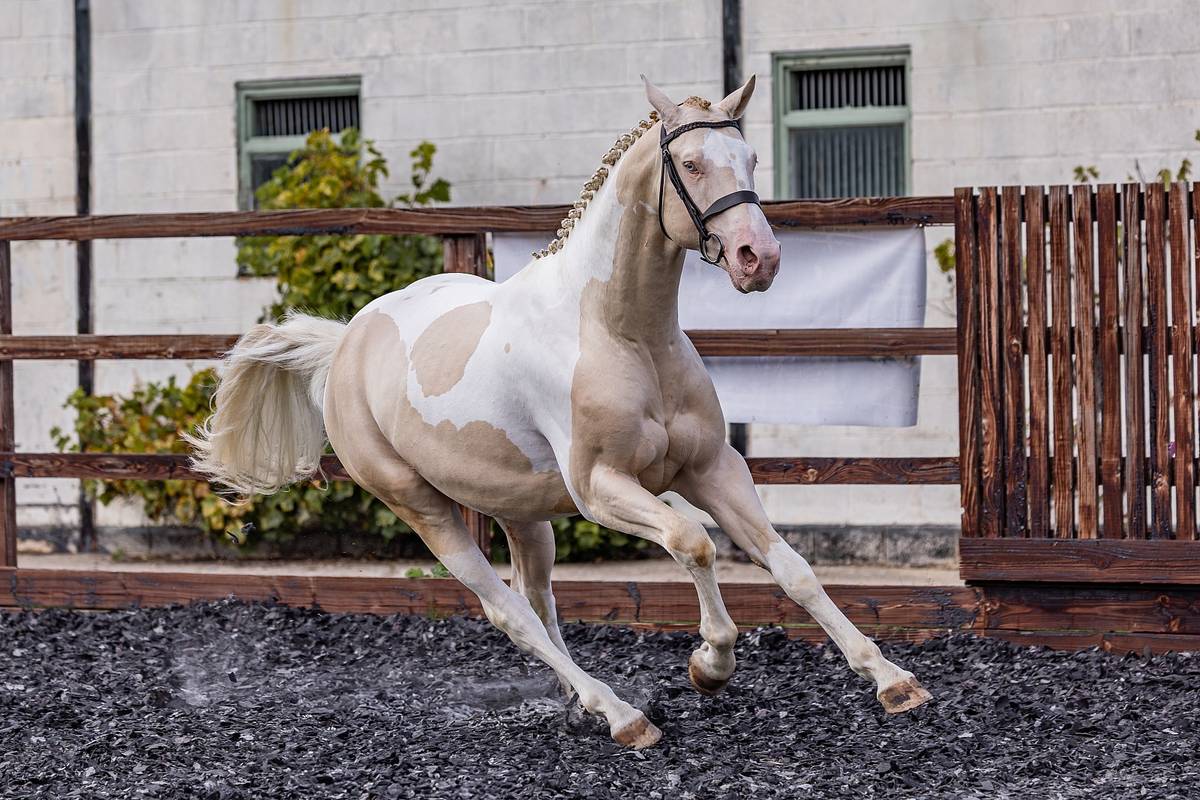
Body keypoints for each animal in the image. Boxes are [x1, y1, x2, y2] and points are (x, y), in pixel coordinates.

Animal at [189, 76, 932, 749]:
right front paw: (709, 666)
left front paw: (894, 682)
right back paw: (623, 716)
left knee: (538, 598)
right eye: (692, 164)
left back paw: (584, 705)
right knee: (507, 610)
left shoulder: (712, 468)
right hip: (421, 507)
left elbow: (792, 567)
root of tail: (346, 342)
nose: (760, 258)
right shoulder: (603, 489)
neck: (622, 332)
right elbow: (693, 542)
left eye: (748, 159)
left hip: (519, 510)